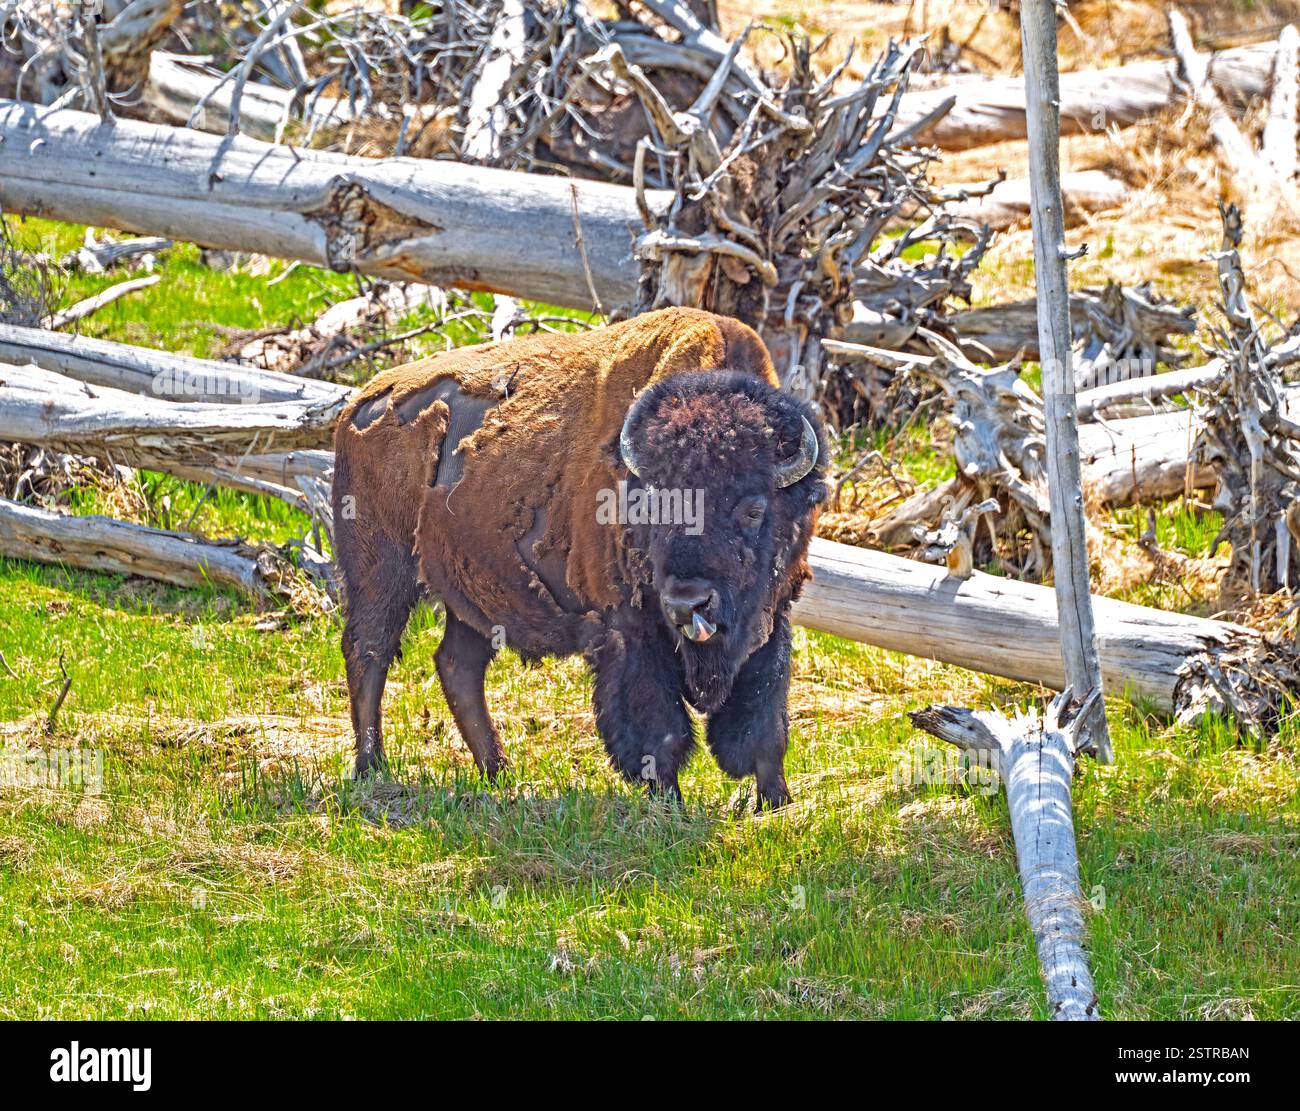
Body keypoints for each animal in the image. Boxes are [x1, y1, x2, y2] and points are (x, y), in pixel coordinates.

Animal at [333, 307, 828, 808]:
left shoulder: (770, 622)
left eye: (754, 508)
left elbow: (763, 723)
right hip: (381, 571)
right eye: (654, 507)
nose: (687, 604)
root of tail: (359, 404)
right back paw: (372, 767)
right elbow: (661, 728)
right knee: (369, 651)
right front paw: (669, 800)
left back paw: (499, 773)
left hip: (472, 595)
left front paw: (776, 802)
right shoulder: (632, 629)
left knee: (457, 667)